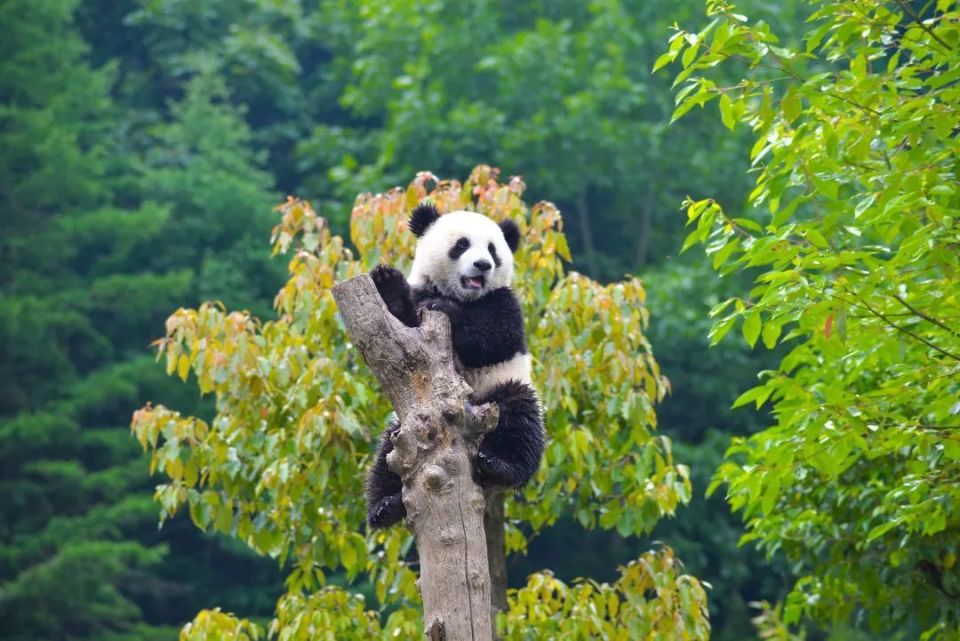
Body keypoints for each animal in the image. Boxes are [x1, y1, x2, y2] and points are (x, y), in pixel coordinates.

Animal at [365, 202, 545, 529]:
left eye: (492, 249)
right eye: (462, 245)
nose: (483, 265)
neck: (462, 296)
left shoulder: (504, 300)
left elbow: (498, 335)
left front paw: (445, 310)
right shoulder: (420, 296)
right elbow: (404, 324)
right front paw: (387, 281)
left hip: (503, 390)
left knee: (521, 422)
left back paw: (499, 465)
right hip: (406, 426)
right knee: (387, 458)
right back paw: (384, 507)